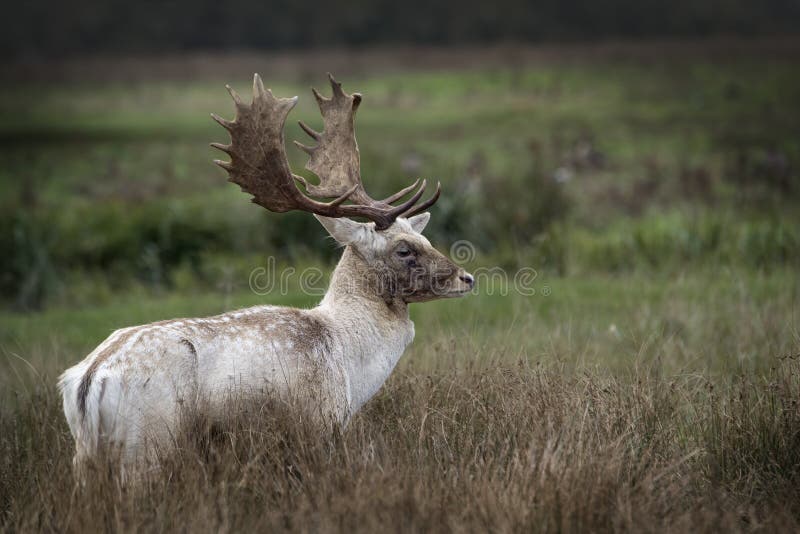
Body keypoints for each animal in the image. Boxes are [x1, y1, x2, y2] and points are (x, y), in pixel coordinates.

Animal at [58, 74, 474, 475]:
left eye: (425, 237)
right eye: (404, 249)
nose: (466, 278)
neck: (349, 358)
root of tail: (88, 381)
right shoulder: (316, 424)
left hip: (87, 459)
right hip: (147, 443)